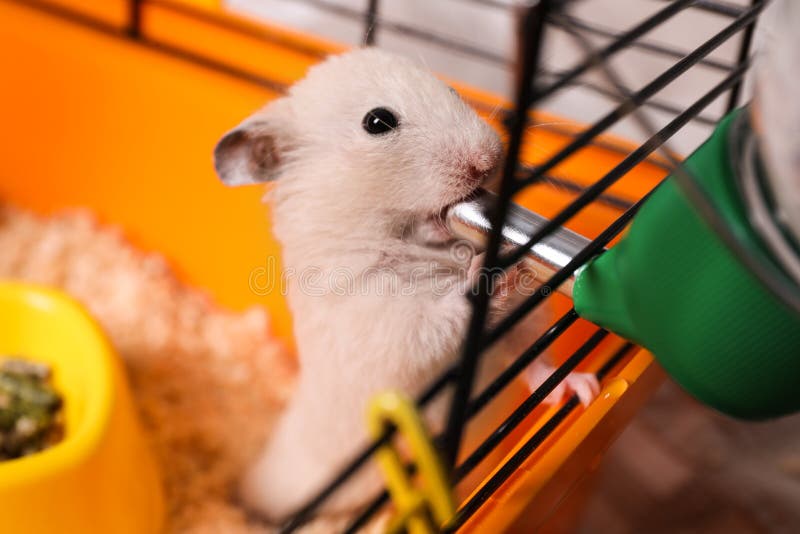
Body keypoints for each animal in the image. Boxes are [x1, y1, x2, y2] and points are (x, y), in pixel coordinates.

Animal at [213, 48, 599, 522]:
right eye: (378, 122)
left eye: (451, 89)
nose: (488, 160)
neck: (418, 241)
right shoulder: (380, 322)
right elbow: (436, 320)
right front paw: (484, 272)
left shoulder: (518, 323)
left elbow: (535, 356)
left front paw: (583, 386)